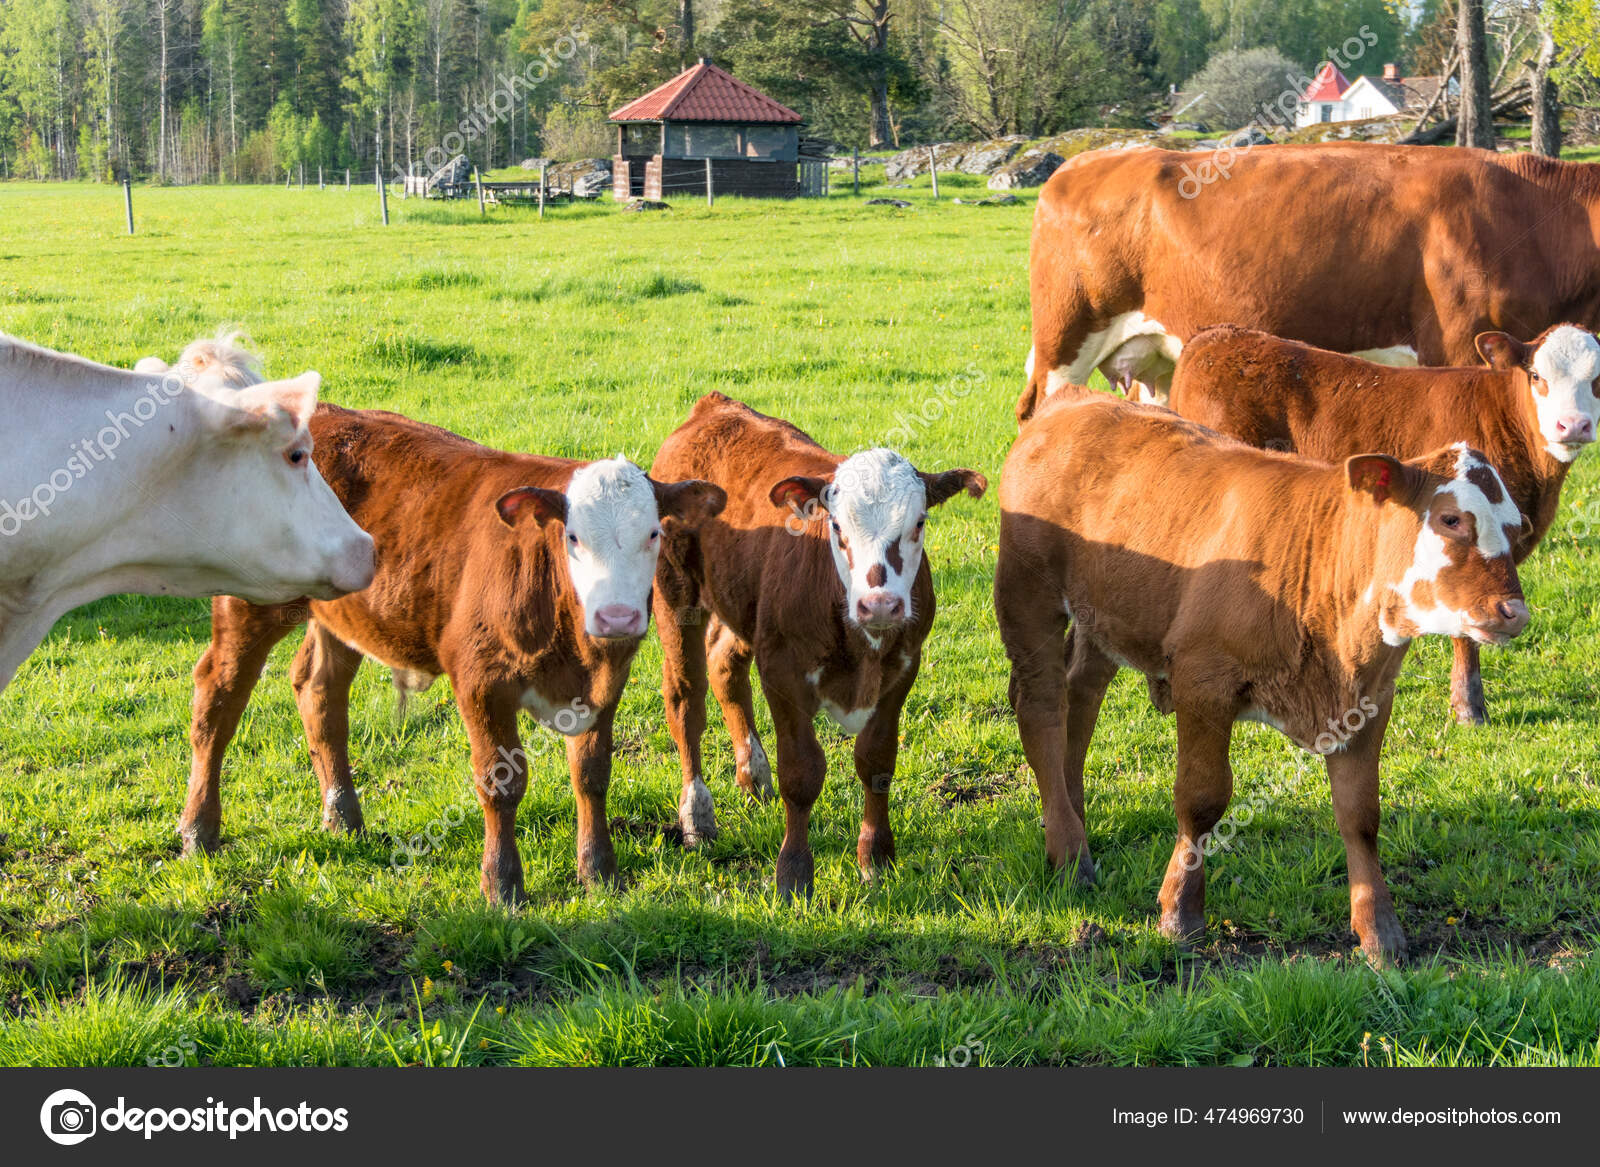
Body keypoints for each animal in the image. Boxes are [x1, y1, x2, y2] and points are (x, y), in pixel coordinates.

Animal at [181, 403, 725, 904]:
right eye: (572, 537)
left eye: (653, 533)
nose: (616, 617)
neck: (575, 651)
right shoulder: (481, 680)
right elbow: (501, 784)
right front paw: (501, 885)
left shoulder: (606, 682)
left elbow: (591, 774)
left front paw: (599, 872)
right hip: (247, 602)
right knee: (217, 698)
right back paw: (198, 831)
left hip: (345, 615)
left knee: (319, 691)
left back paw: (342, 816)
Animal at [649, 393, 985, 897]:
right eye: (838, 527)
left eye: (919, 523)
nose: (880, 604)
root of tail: (714, 407)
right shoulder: (781, 671)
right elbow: (802, 773)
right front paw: (793, 873)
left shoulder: (903, 669)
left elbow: (876, 761)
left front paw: (876, 859)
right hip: (675, 596)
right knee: (686, 702)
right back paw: (697, 817)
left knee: (725, 666)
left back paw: (753, 776)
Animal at [995, 389, 1531, 965]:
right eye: (1452, 519)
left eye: (1515, 527)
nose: (1515, 612)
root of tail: (1075, 399)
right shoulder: (1203, 683)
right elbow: (1202, 798)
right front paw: (1180, 913)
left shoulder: (1370, 700)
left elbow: (1361, 814)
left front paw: (1380, 932)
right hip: (1028, 596)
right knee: (1042, 707)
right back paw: (1071, 854)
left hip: (1107, 618)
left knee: (1082, 696)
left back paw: (1072, 818)